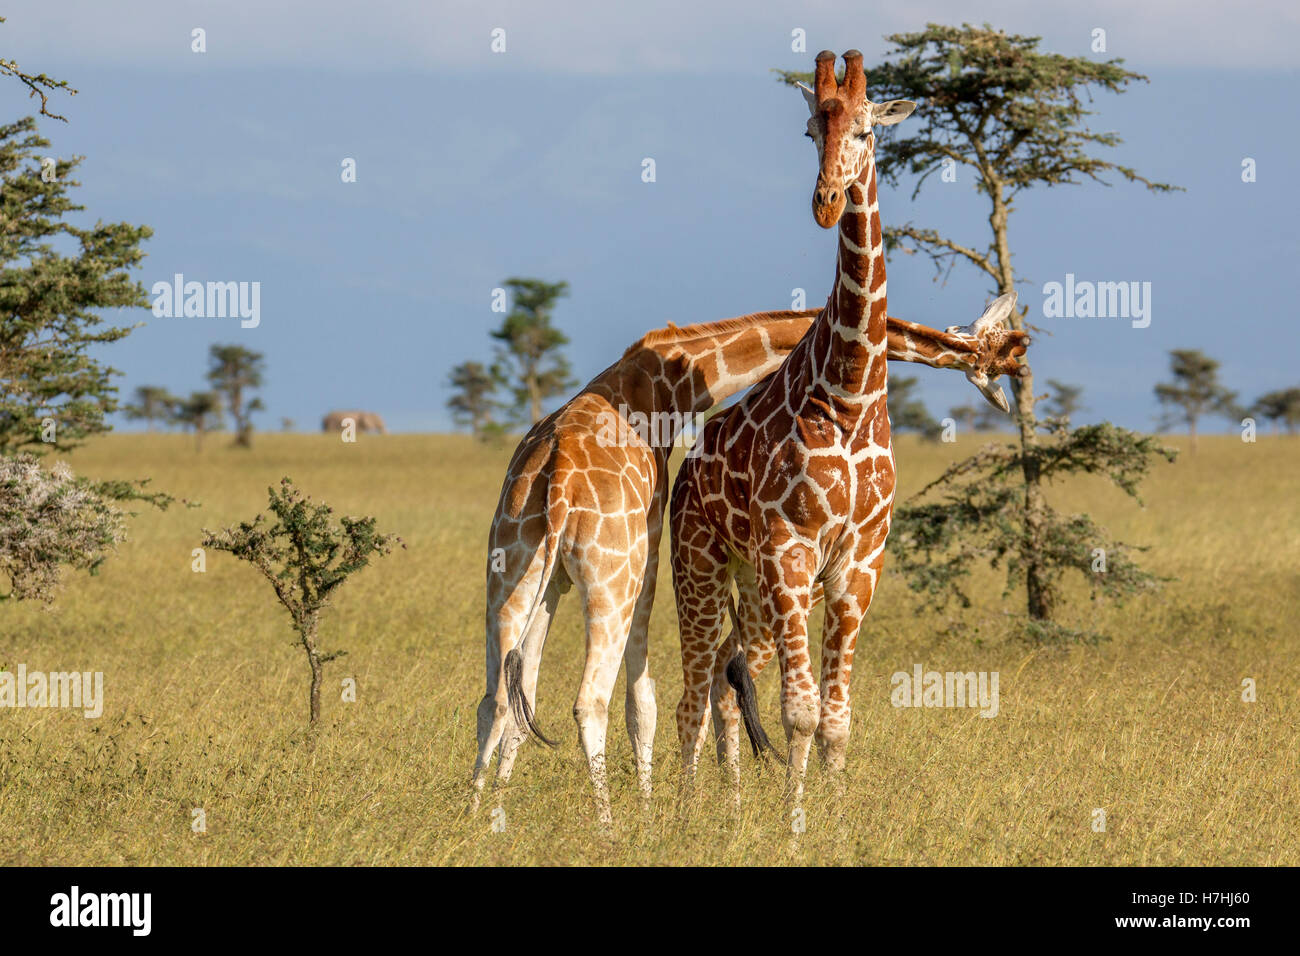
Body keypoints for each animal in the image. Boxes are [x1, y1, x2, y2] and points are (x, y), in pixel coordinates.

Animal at [471, 307, 1026, 824]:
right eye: (995, 353)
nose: (1016, 359)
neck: (662, 387)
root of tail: (560, 476)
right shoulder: (646, 560)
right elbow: (642, 702)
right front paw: (648, 812)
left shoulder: (557, 583)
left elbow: (525, 697)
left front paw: (501, 802)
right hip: (613, 578)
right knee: (590, 701)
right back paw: (609, 830)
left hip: (511, 569)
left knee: (497, 698)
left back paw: (477, 816)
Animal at [669, 50, 1028, 799]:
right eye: (811, 131)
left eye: (867, 131)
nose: (827, 201)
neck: (852, 395)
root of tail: (687, 468)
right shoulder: (792, 547)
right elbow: (800, 711)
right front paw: (796, 815)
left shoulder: (858, 563)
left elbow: (836, 718)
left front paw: (827, 809)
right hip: (702, 564)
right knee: (692, 691)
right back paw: (681, 808)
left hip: (753, 585)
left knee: (723, 682)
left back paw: (731, 801)